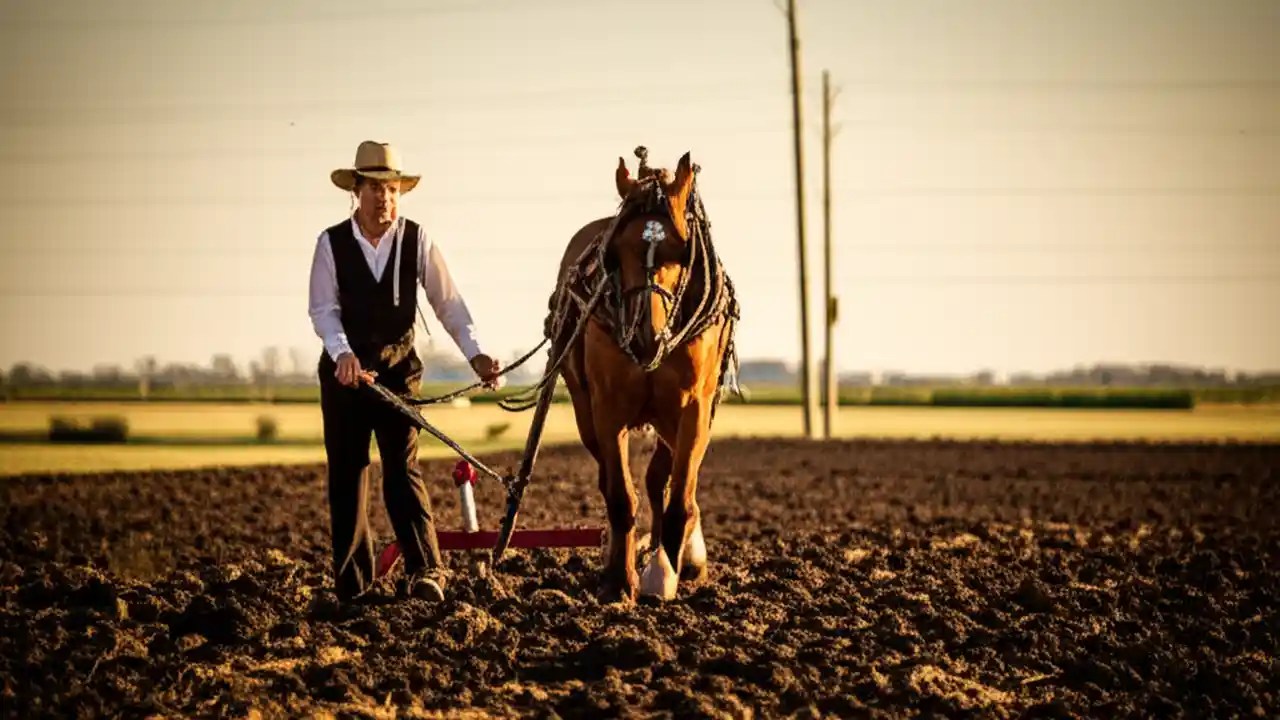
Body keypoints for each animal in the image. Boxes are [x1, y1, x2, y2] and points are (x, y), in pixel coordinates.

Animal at [539, 147, 740, 603]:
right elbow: (620, 497)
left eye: (679, 251)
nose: (647, 337)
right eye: (619, 254)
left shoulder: (694, 409)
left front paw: (665, 573)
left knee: (660, 481)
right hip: (587, 412)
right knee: (619, 481)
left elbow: (679, 496)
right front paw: (619, 579)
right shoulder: (608, 409)